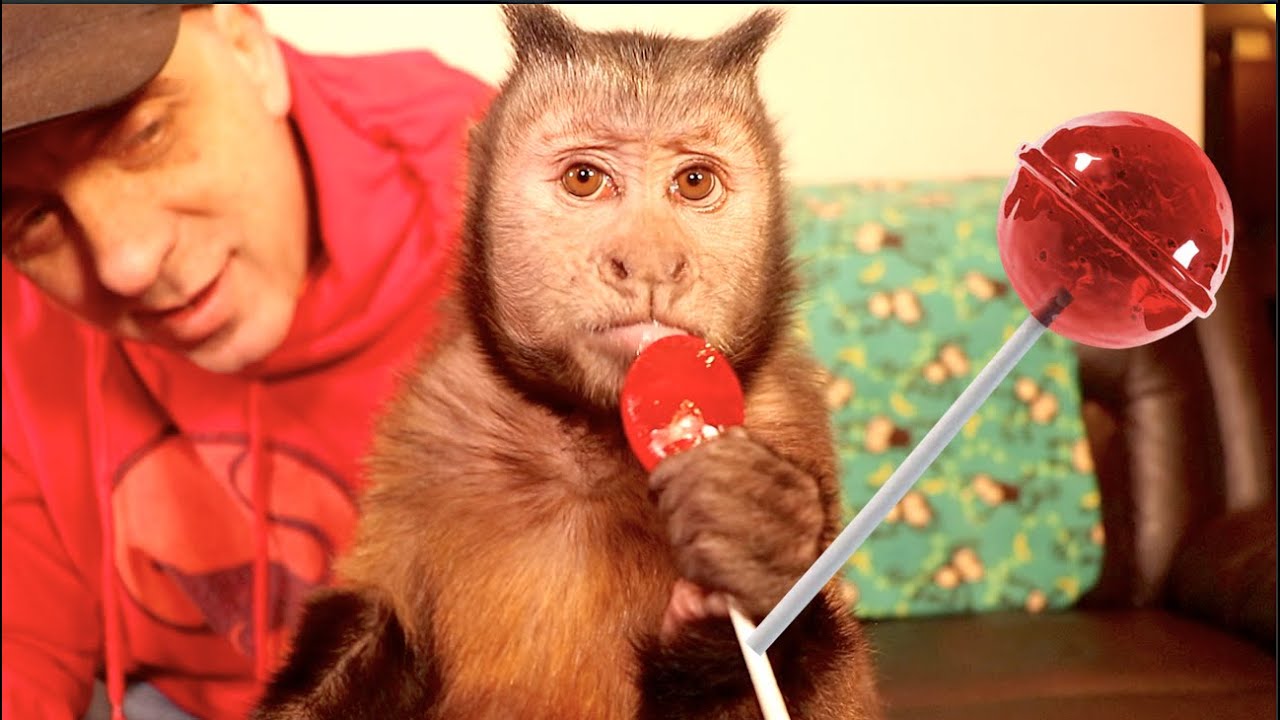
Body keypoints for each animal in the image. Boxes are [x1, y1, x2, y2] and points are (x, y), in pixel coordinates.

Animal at [254, 6, 882, 719]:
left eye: (694, 182)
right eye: (586, 178)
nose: (650, 260)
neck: (591, 439)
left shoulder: (781, 417)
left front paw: (754, 550)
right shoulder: (435, 425)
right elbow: (370, 623)